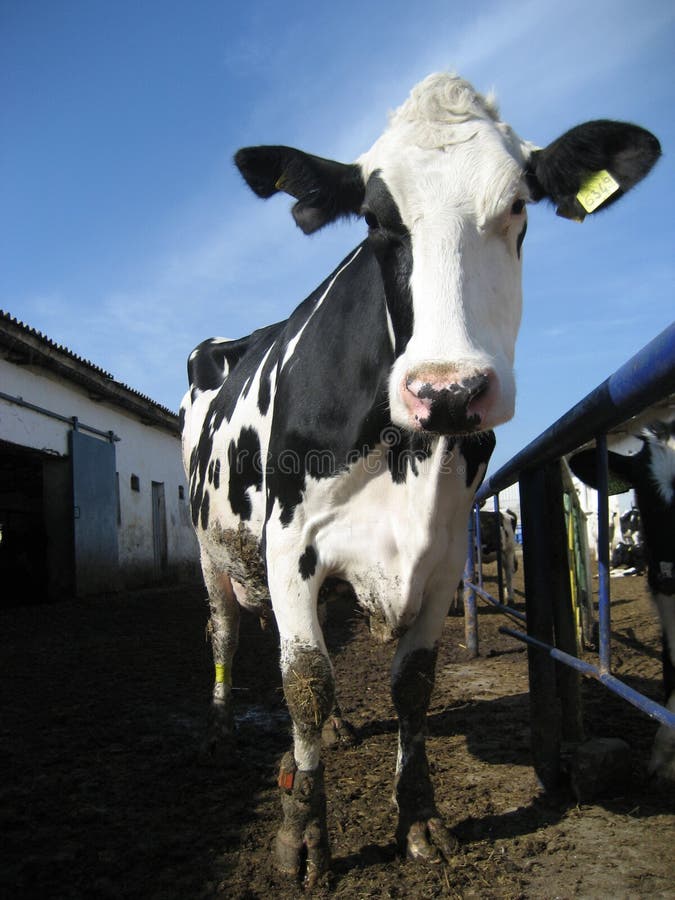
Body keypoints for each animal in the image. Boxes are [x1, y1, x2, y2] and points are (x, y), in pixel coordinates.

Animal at [181, 73, 660, 884]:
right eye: (376, 220)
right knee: (225, 631)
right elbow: (303, 679)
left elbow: (411, 683)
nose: (448, 391)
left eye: (518, 205)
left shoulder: (441, 557)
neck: (407, 456)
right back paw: (221, 729)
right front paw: (303, 839)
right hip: (213, 551)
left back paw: (337, 730)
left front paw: (419, 820)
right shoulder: (289, 544)